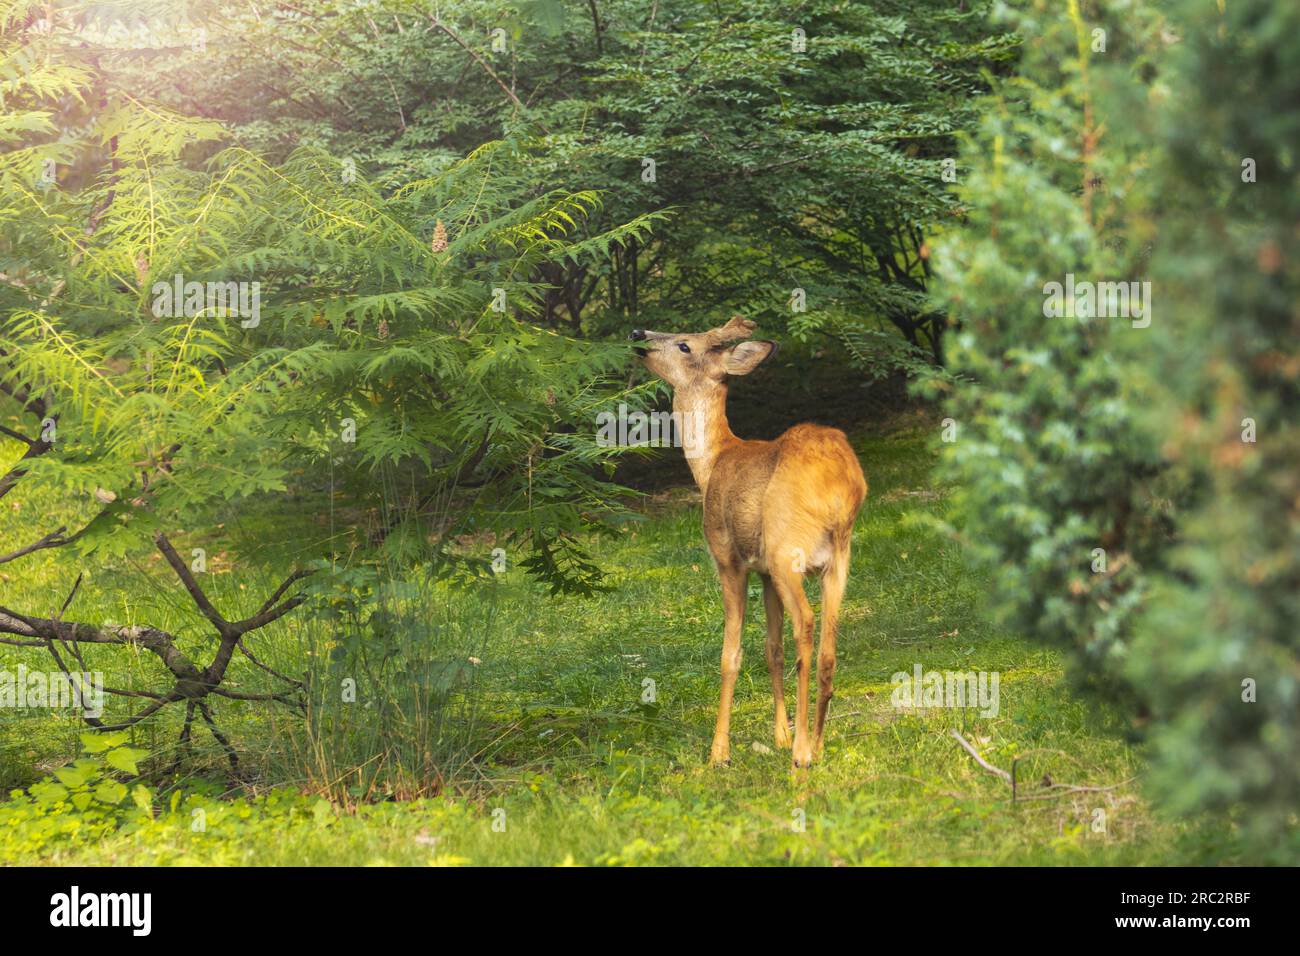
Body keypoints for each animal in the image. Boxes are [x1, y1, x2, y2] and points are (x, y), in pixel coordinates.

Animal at [630, 316, 867, 769]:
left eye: (685, 345)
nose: (638, 335)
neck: (711, 464)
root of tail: (840, 486)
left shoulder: (729, 559)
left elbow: (731, 654)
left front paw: (719, 751)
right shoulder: (764, 574)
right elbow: (771, 649)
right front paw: (779, 735)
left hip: (786, 548)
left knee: (806, 624)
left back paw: (802, 753)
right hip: (838, 559)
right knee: (828, 645)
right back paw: (816, 744)